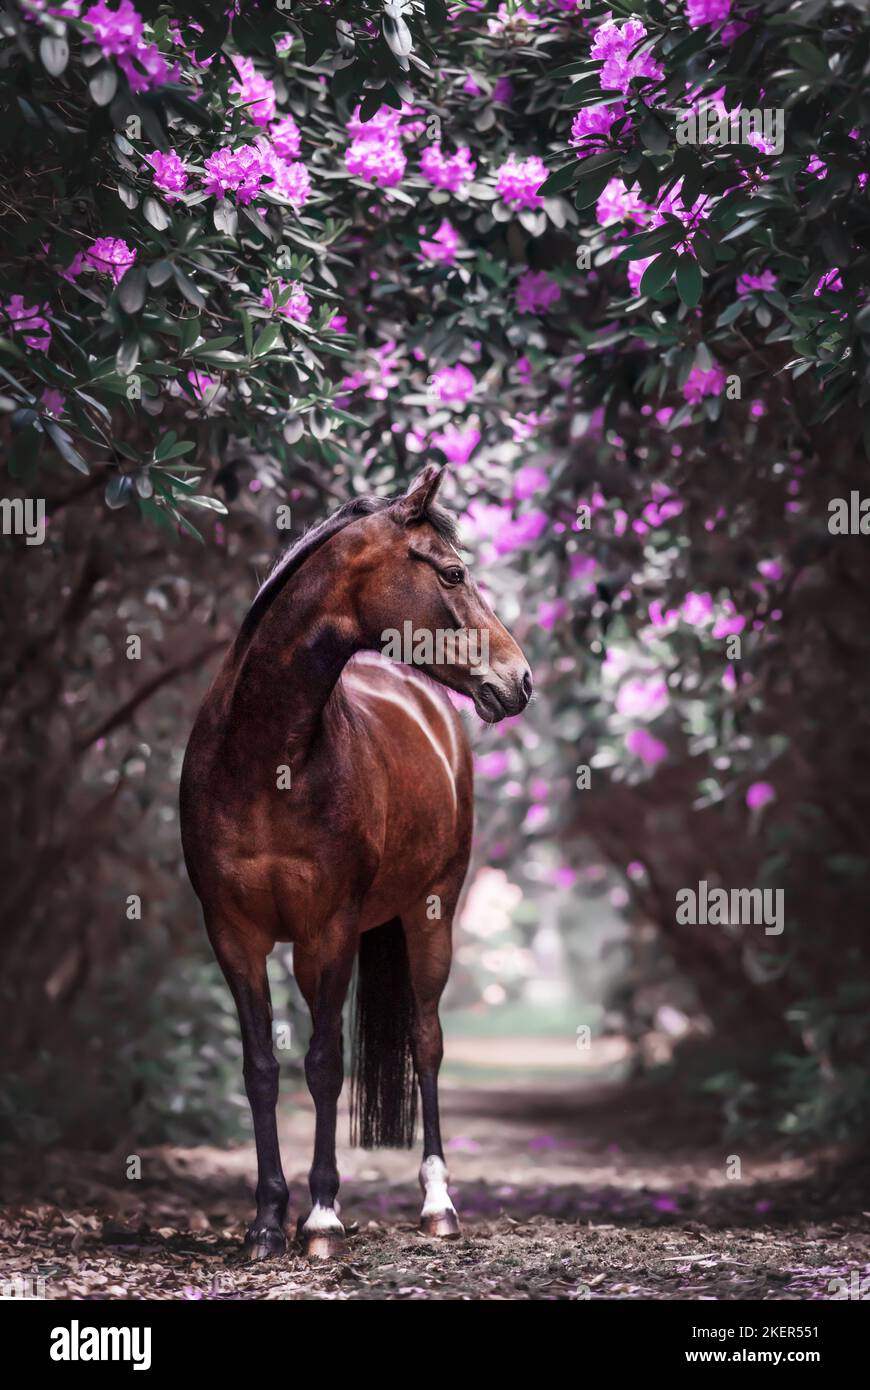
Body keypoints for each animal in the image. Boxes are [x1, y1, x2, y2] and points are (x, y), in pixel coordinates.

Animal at [179, 464, 532, 1259]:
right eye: (452, 572)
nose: (521, 680)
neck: (266, 761)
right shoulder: (232, 934)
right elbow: (261, 1069)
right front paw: (266, 1221)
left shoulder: (328, 931)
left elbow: (323, 1062)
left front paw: (321, 1217)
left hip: (432, 915)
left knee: (427, 1045)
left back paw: (437, 1204)